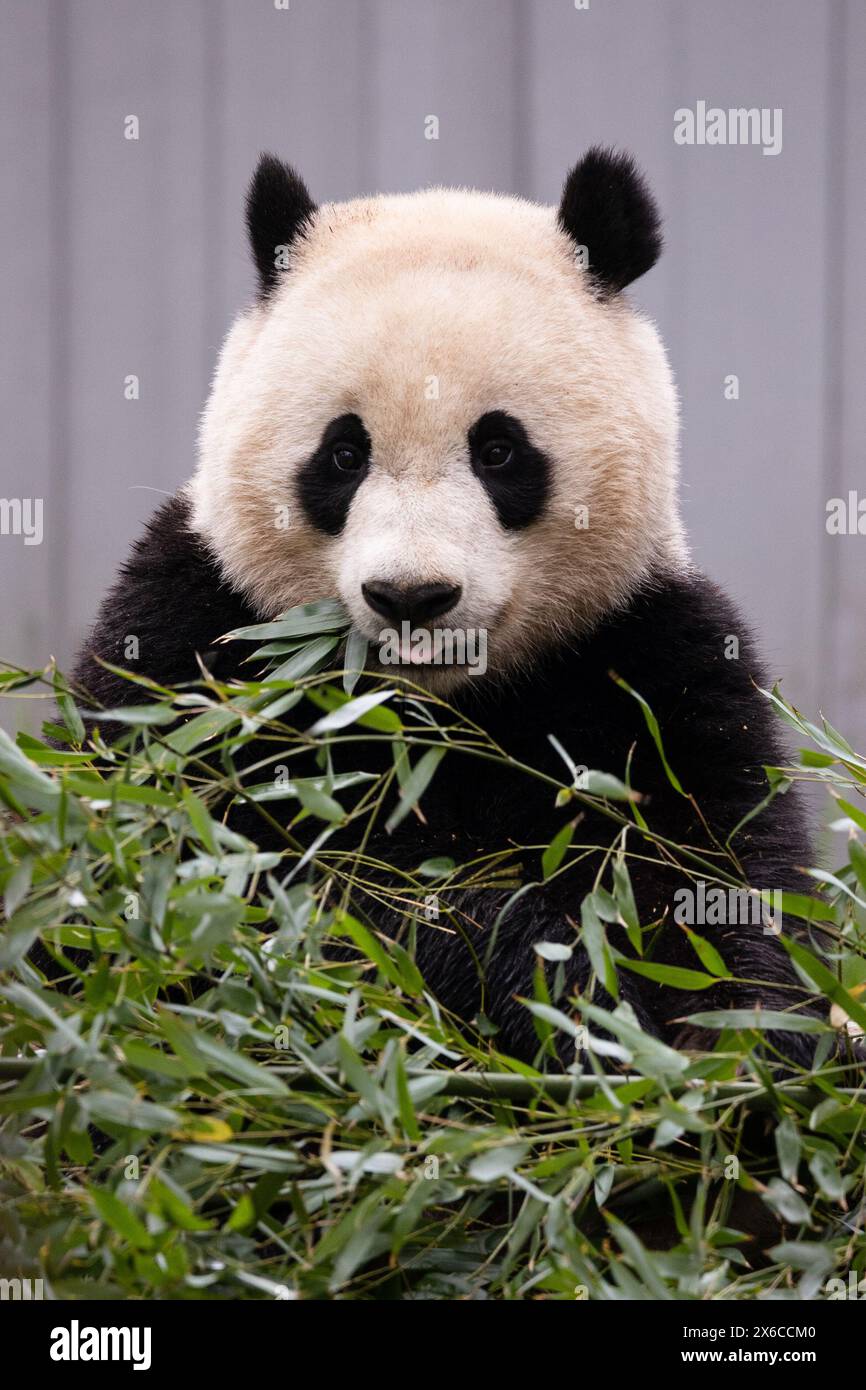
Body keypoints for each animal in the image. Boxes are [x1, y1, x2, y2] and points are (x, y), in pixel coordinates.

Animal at [70, 148, 827, 1066]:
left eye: (499, 451)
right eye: (343, 454)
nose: (411, 596)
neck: (434, 710)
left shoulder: (646, 652)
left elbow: (722, 872)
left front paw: (739, 1054)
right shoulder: (200, 648)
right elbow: (267, 872)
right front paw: (553, 990)